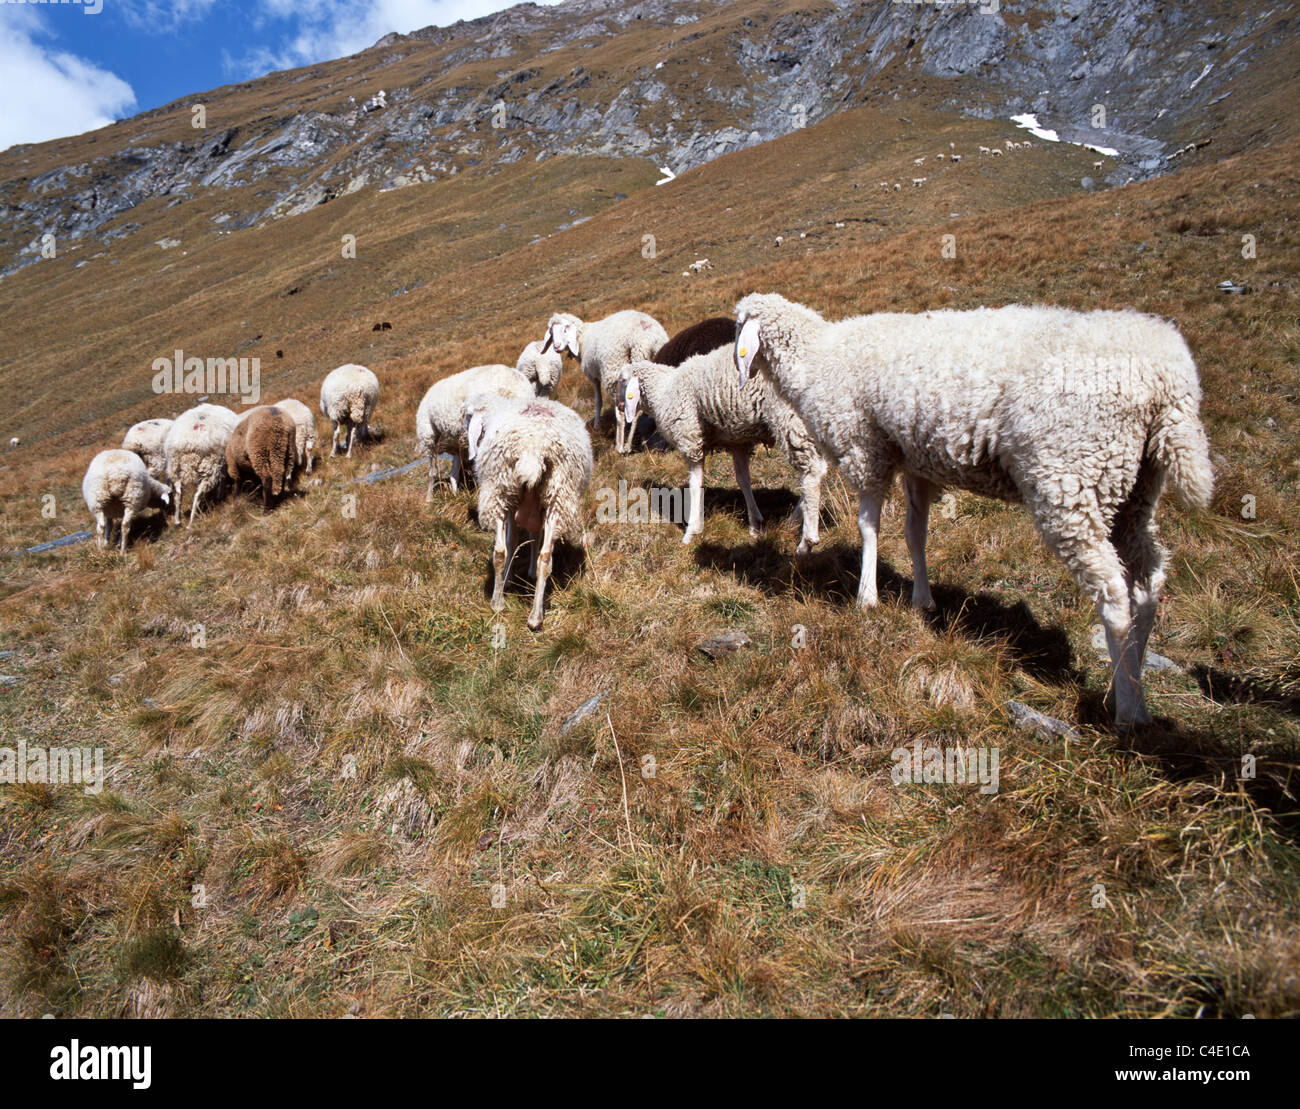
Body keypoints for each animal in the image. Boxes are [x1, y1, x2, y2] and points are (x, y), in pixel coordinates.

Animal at [415, 363, 534, 498]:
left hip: (457, 442)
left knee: (453, 471)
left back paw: (455, 494)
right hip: (428, 435)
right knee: (433, 471)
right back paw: (429, 498)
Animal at [463, 392, 593, 630]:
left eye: (468, 415)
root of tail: (533, 447)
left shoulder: (519, 504)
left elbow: (516, 539)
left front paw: (508, 578)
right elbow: (530, 536)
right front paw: (522, 574)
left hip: (500, 490)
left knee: (501, 551)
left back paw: (500, 604)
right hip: (556, 495)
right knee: (543, 557)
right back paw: (534, 616)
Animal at [540, 309, 668, 455]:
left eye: (566, 327)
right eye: (551, 331)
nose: (556, 347)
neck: (583, 338)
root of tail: (644, 337)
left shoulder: (593, 376)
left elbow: (598, 401)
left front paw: (596, 425)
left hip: (614, 370)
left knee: (622, 410)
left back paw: (621, 446)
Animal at [619, 342, 827, 552]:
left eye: (623, 380)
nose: (620, 406)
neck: (664, 390)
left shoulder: (690, 439)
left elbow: (695, 485)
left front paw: (691, 531)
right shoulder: (737, 441)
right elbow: (743, 479)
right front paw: (755, 524)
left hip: (790, 418)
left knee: (812, 473)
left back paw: (806, 539)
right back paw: (794, 522)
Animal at [732, 293, 1214, 728]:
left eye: (737, 327)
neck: (819, 355)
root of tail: (1168, 381)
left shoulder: (864, 451)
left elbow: (869, 527)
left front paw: (866, 599)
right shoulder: (915, 461)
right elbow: (915, 532)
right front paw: (921, 601)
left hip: (1070, 476)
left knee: (1113, 594)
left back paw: (1128, 711)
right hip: (1133, 490)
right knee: (1147, 585)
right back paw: (1132, 681)